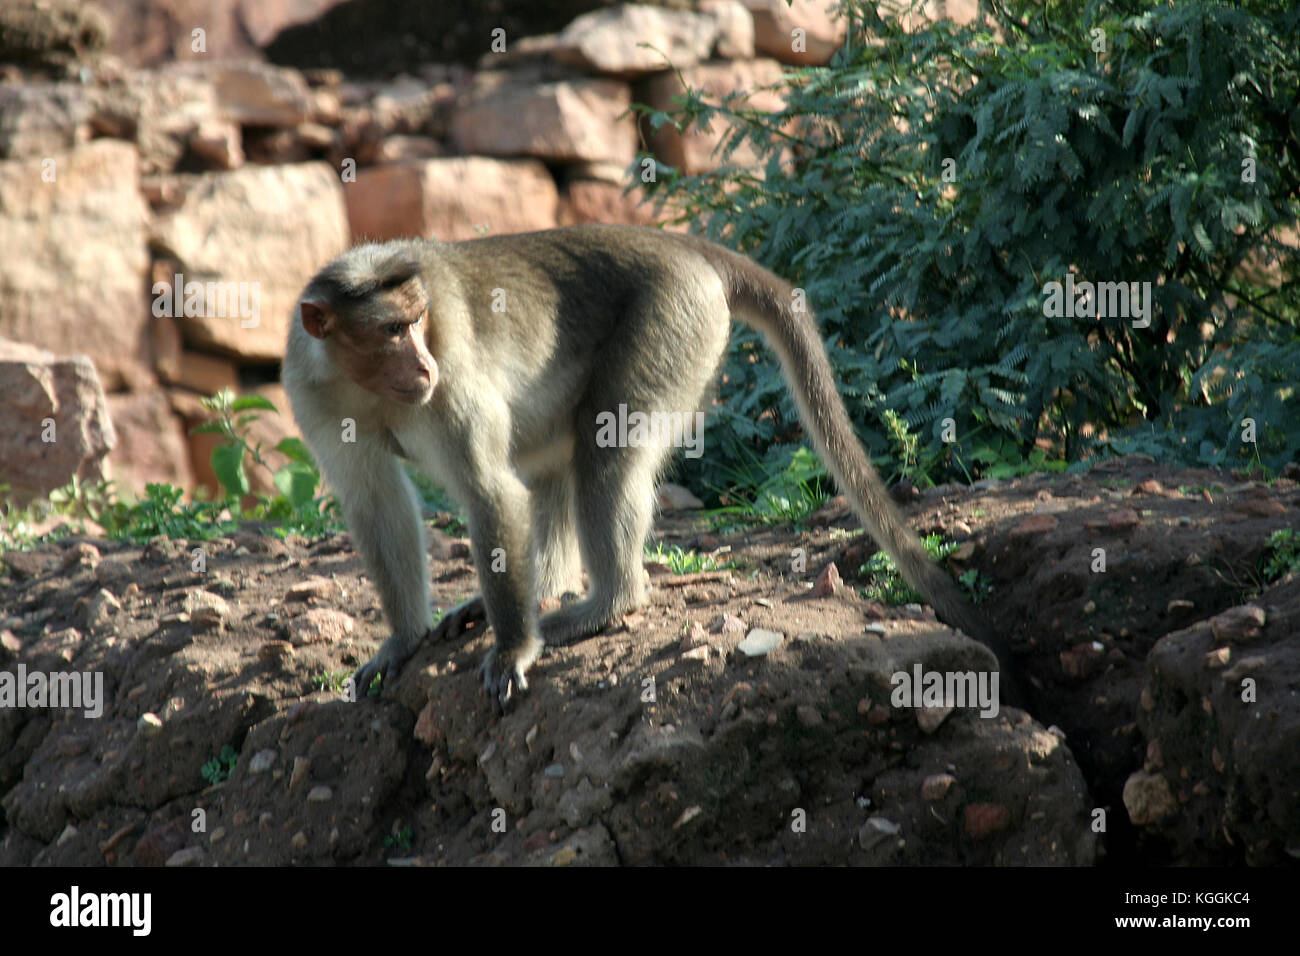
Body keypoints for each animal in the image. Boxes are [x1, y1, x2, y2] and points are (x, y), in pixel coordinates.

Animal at [282, 224, 1021, 713]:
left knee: (603, 455)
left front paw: (514, 646)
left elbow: (490, 492)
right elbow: (376, 505)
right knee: (559, 458)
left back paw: (604, 604)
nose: (422, 366)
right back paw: (550, 589)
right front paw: (402, 642)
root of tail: (682, 246)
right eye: (391, 331)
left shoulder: (454, 367)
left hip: (672, 319)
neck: (365, 384)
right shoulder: (310, 388)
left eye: (418, 321)